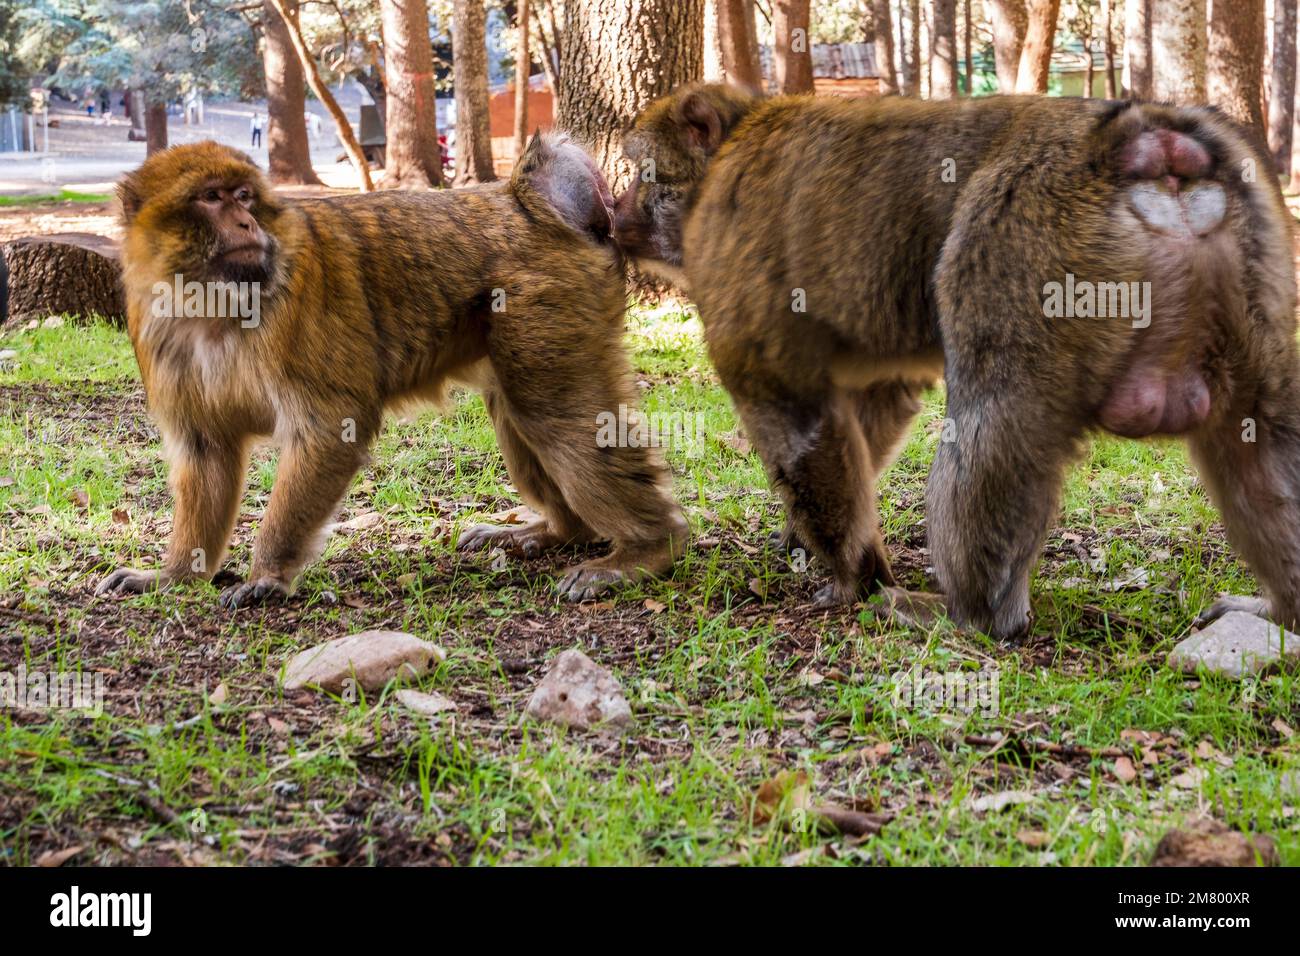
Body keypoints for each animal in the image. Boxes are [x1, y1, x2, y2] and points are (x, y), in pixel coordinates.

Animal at [97, 135, 687, 609]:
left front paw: (267, 575)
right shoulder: (159, 334)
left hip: (549, 299)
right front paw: (174, 576)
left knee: (553, 413)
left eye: (243, 197)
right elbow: (207, 454)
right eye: (211, 198)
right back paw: (563, 531)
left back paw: (644, 549)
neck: (209, 303)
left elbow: (331, 429)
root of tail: (523, 202)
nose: (246, 222)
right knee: (521, 412)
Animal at [613, 83, 1300, 641]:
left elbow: (790, 406)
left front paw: (850, 573)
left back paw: (967, 614)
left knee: (997, 417)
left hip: (1027, 239)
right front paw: (804, 534)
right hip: (1253, 255)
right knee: (1256, 434)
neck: (731, 147)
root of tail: (1144, 135)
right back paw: (1284, 611)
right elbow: (876, 400)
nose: (615, 213)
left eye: (645, 175)